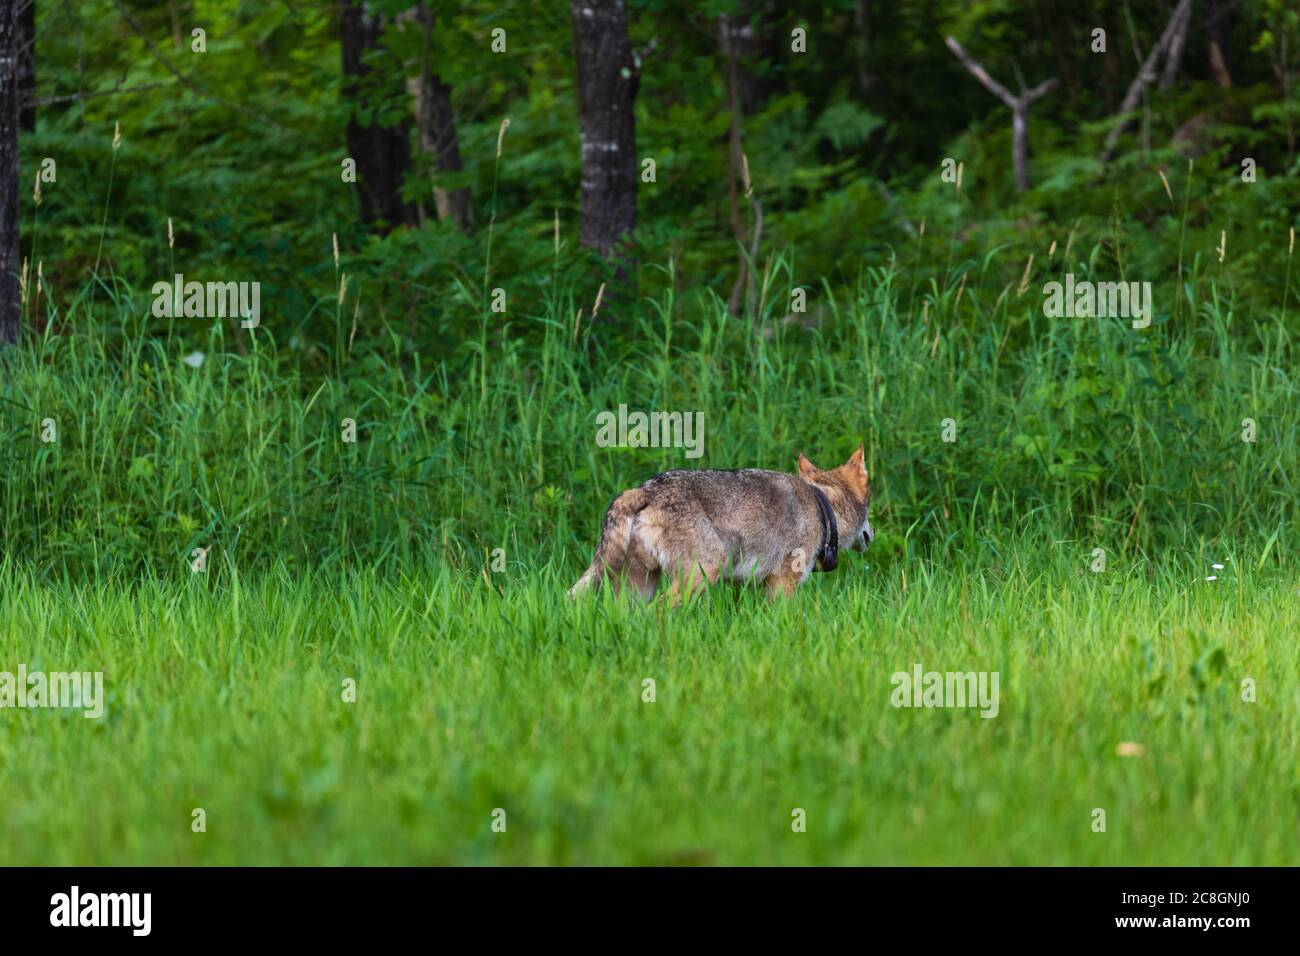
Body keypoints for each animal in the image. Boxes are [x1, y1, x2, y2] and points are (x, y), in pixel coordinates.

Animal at [568, 445, 874, 602]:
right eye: (871, 503)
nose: (873, 534)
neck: (821, 506)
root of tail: (644, 489)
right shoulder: (783, 583)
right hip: (701, 574)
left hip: (639, 587)